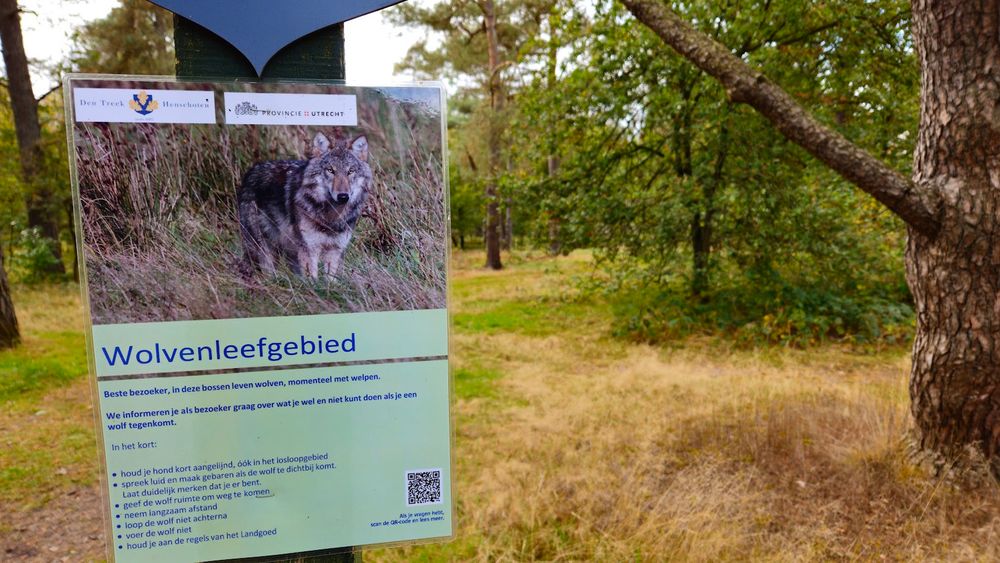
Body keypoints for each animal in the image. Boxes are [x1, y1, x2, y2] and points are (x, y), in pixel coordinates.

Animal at [238, 132, 372, 279]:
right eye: (330, 170)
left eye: (350, 171)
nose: (343, 196)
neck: (331, 218)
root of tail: (252, 170)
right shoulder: (309, 249)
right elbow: (312, 279)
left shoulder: (335, 250)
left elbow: (330, 279)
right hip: (264, 247)